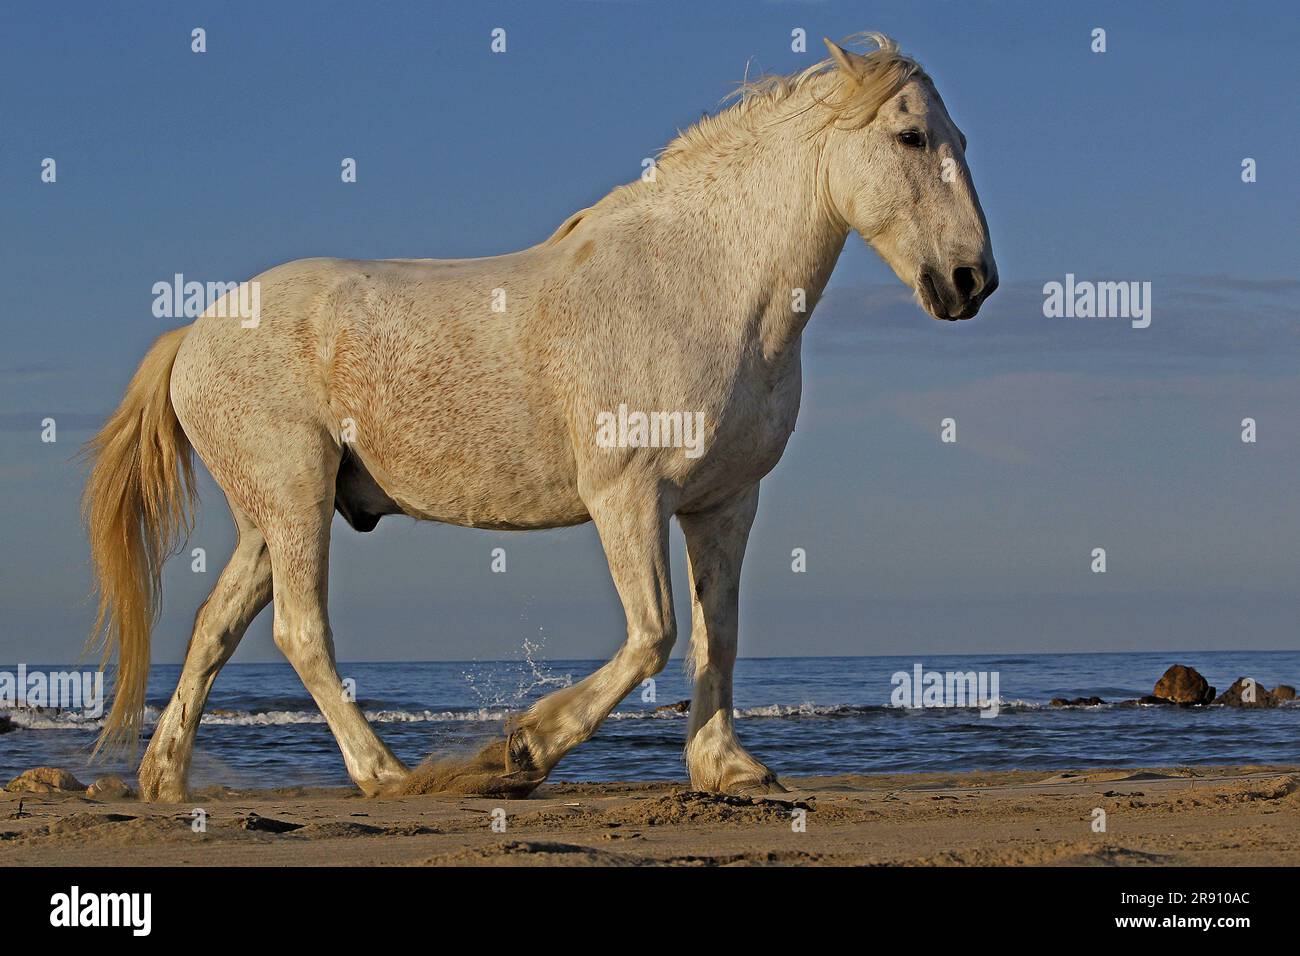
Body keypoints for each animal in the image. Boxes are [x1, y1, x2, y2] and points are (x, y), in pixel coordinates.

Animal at [83, 33, 997, 801]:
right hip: (296, 498)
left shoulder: (723, 504)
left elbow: (719, 635)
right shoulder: (628, 496)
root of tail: (194, 333)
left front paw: (726, 767)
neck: (701, 284)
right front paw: (523, 748)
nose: (971, 281)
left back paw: (164, 779)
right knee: (300, 633)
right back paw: (389, 775)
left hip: (268, 520)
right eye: (911, 138)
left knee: (214, 630)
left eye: (961, 138)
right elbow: (654, 634)